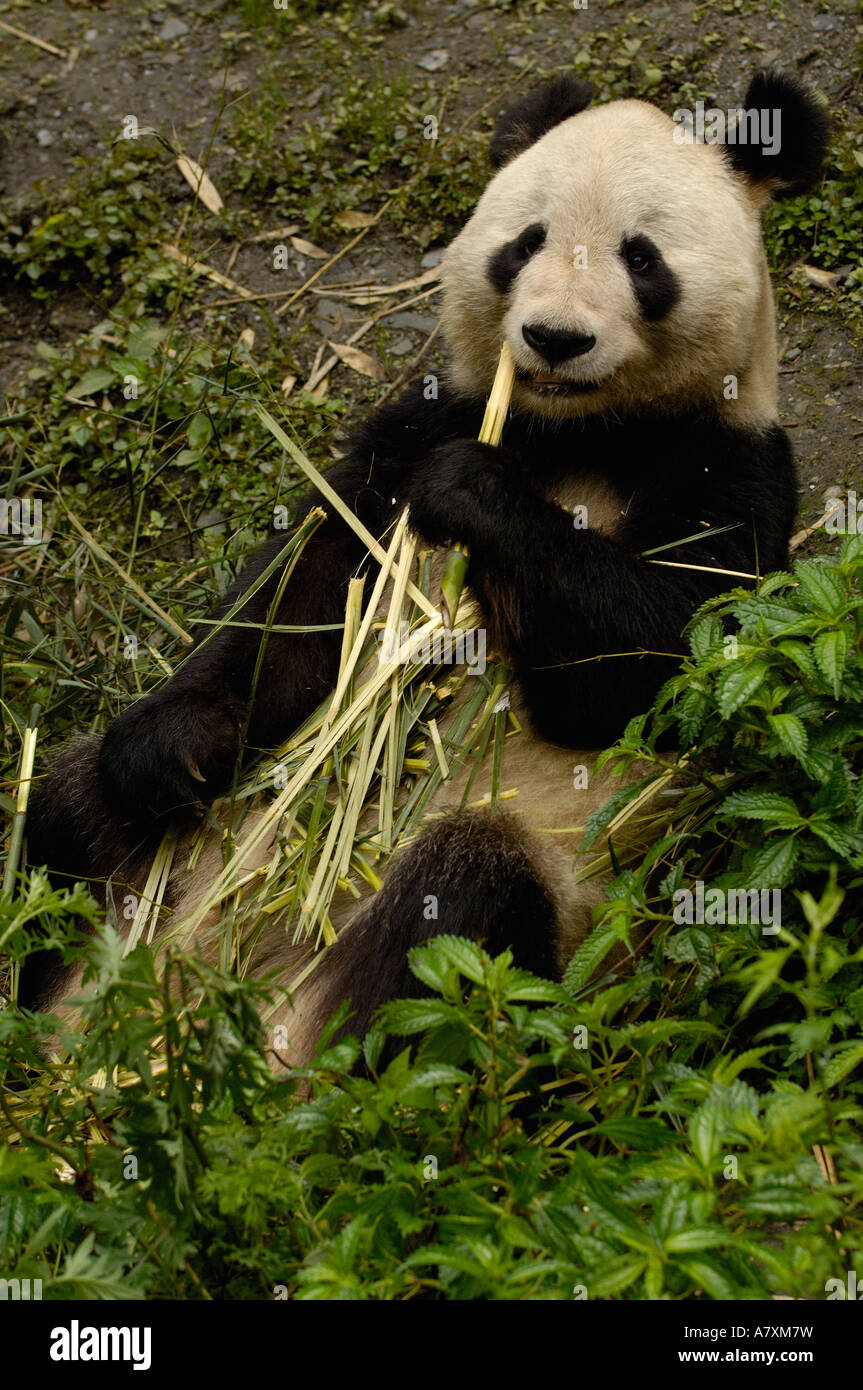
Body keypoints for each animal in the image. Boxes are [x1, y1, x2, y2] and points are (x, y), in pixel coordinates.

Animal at [24, 69, 829, 1063]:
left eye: (640, 258)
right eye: (525, 242)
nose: (554, 338)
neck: (577, 429)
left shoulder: (733, 460)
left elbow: (651, 664)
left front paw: (470, 492)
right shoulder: (419, 420)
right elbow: (312, 593)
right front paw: (182, 743)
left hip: (532, 893)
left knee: (455, 914)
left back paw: (308, 1071)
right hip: (174, 857)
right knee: (71, 809)